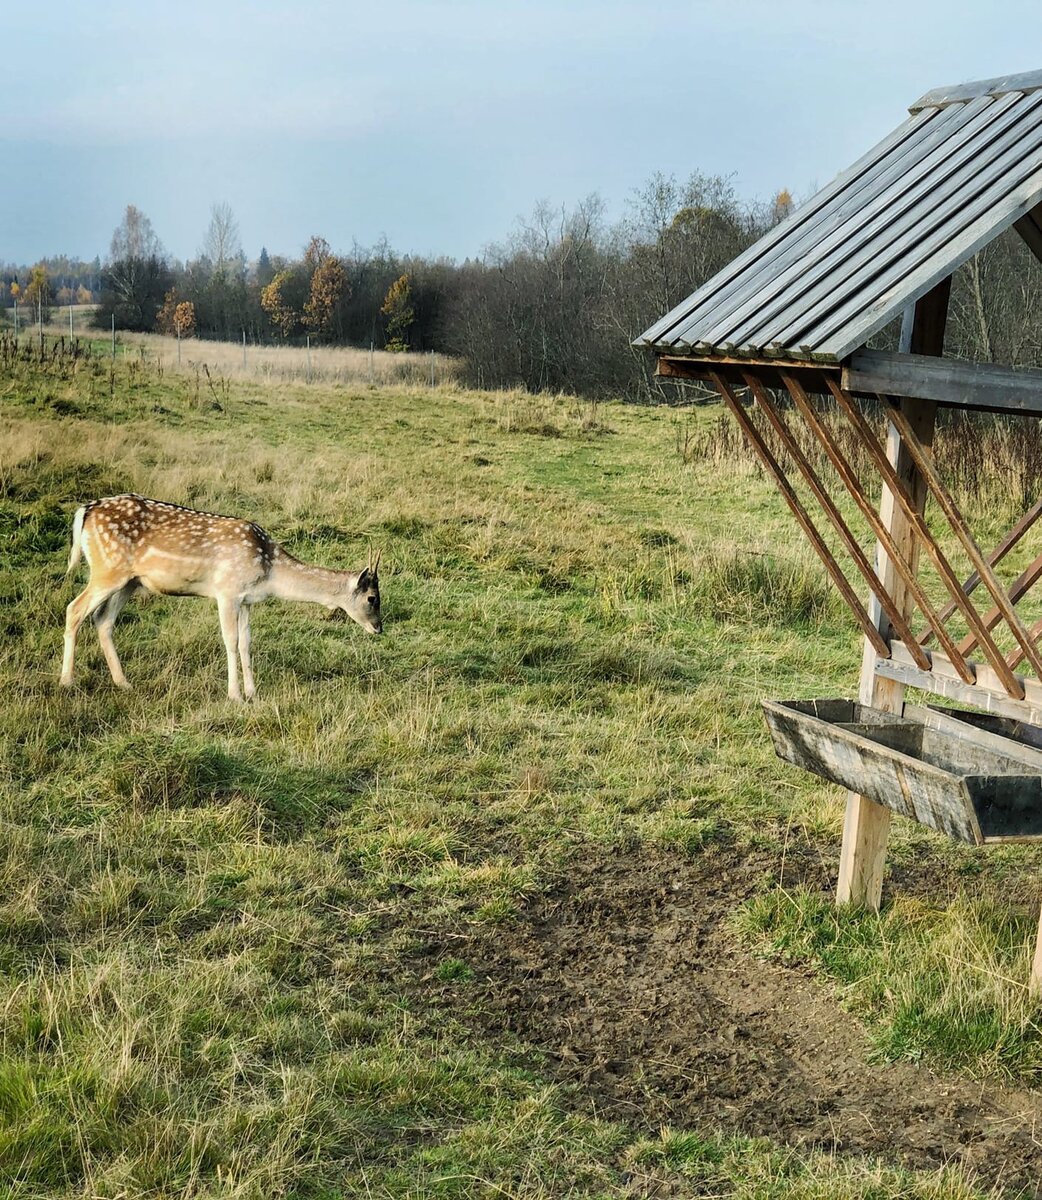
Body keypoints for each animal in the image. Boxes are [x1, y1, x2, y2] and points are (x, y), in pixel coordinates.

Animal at [60, 494, 381, 700]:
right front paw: (234, 695)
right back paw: (67, 681)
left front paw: (253, 692)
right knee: (74, 609)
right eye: (372, 598)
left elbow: (247, 642)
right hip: (107, 569)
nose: (379, 627)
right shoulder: (227, 591)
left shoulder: (247, 600)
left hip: (130, 580)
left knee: (103, 619)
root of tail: (85, 510)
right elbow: (231, 640)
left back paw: (123, 683)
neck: (269, 570)